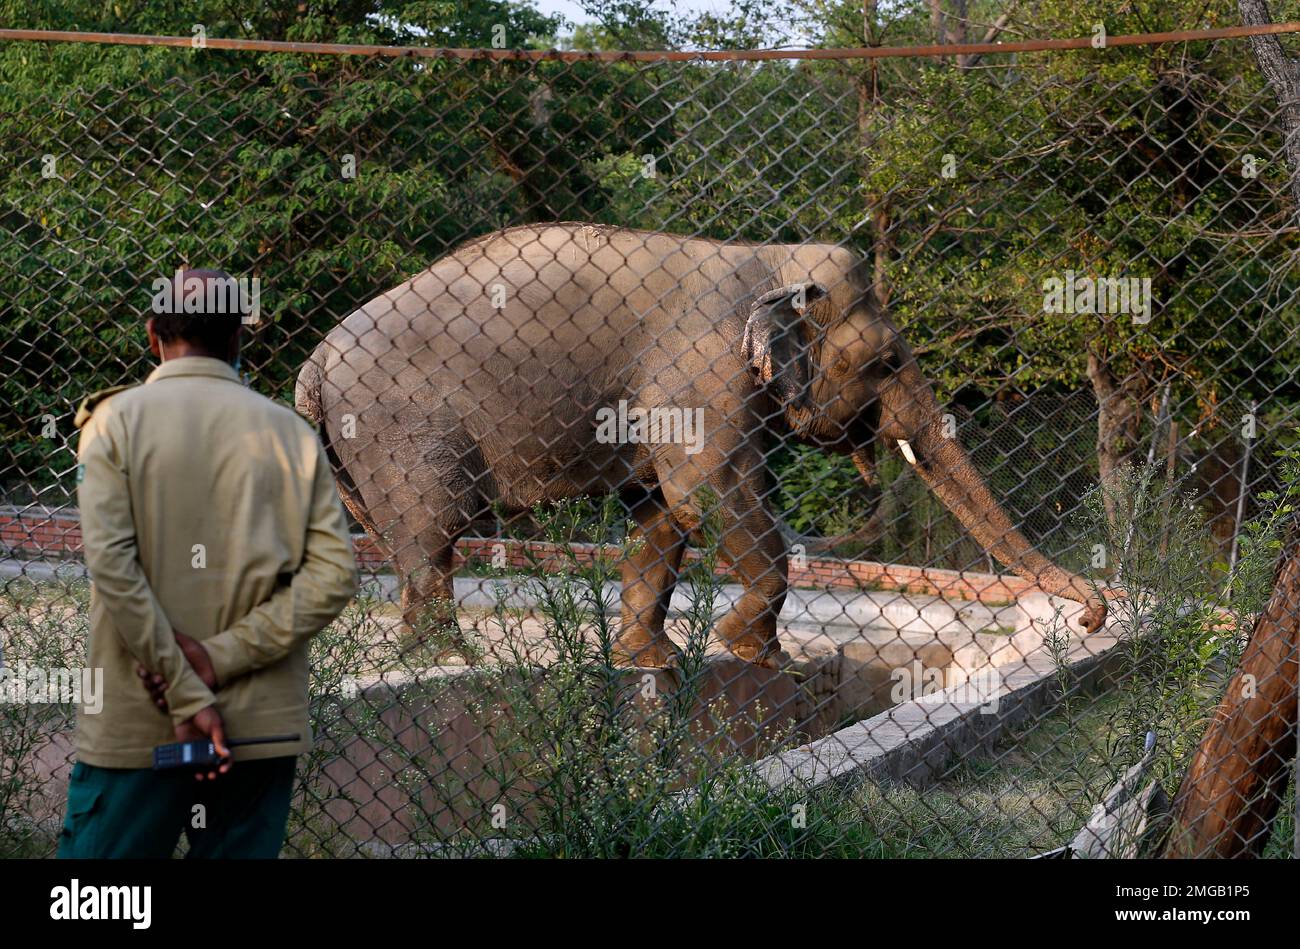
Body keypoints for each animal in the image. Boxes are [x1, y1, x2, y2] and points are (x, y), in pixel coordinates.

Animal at [296, 222, 1106, 668]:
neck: (770, 262)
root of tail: (314, 363)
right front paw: (754, 651)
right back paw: (444, 657)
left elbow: (662, 513)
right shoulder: (699, 374)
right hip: (399, 428)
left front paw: (651, 660)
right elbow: (708, 493)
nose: (1091, 619)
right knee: (436, 532)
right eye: (887, 362)